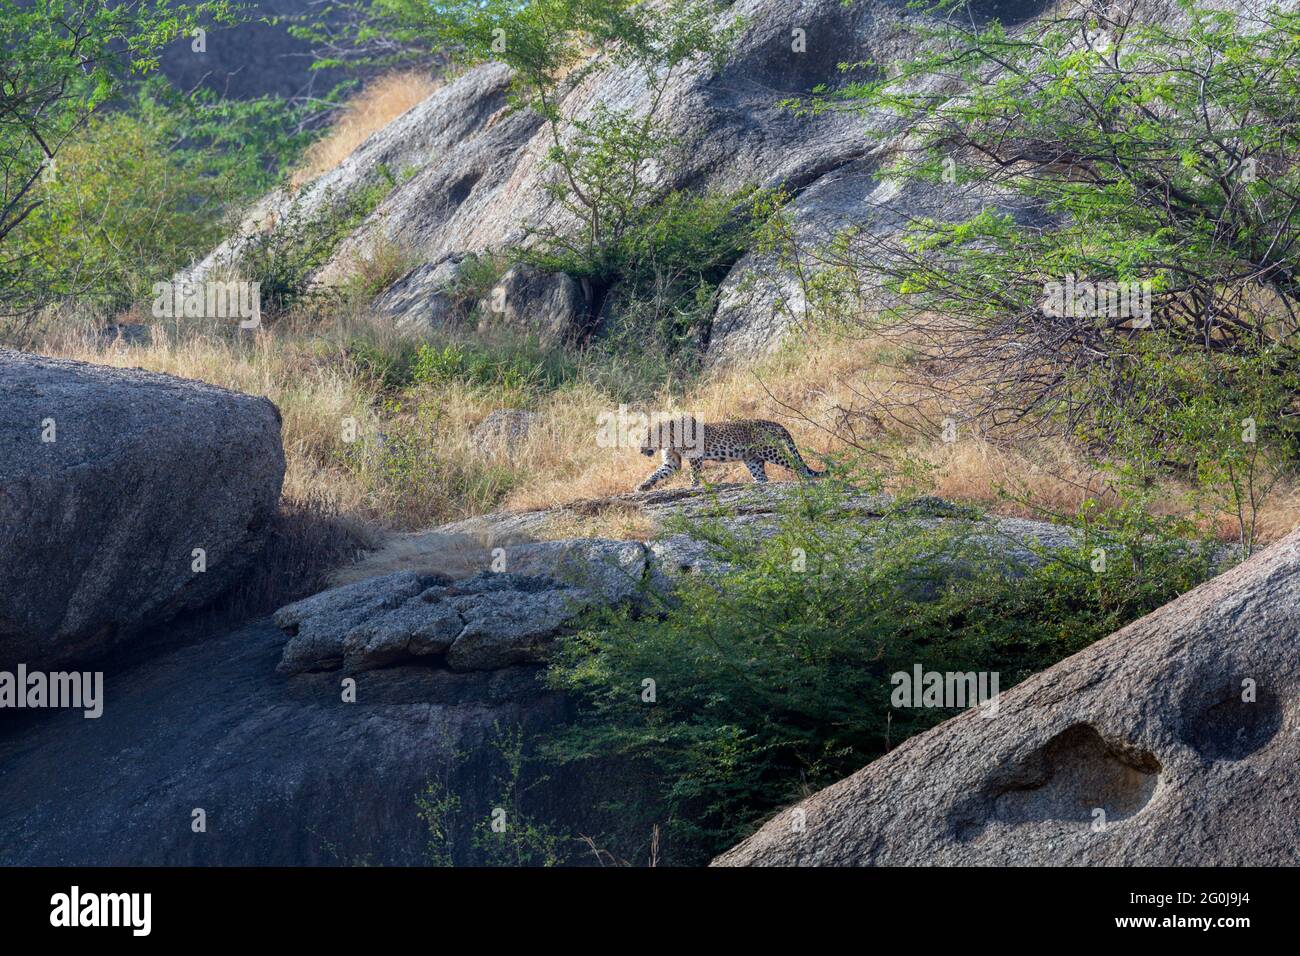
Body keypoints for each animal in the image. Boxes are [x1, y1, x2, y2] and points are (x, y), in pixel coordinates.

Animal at [636, 417, 824, 491]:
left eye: (648, 438)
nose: (641, 450)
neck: (669, 439)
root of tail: (774, 423)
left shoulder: (695, 456)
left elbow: (694, 474)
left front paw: (693, 487)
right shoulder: (672, 463)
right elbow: (657, 473)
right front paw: (643, 486)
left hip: (769, 451)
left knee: (796, 464)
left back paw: (806, 480)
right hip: (753, 459)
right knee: (762, 477)